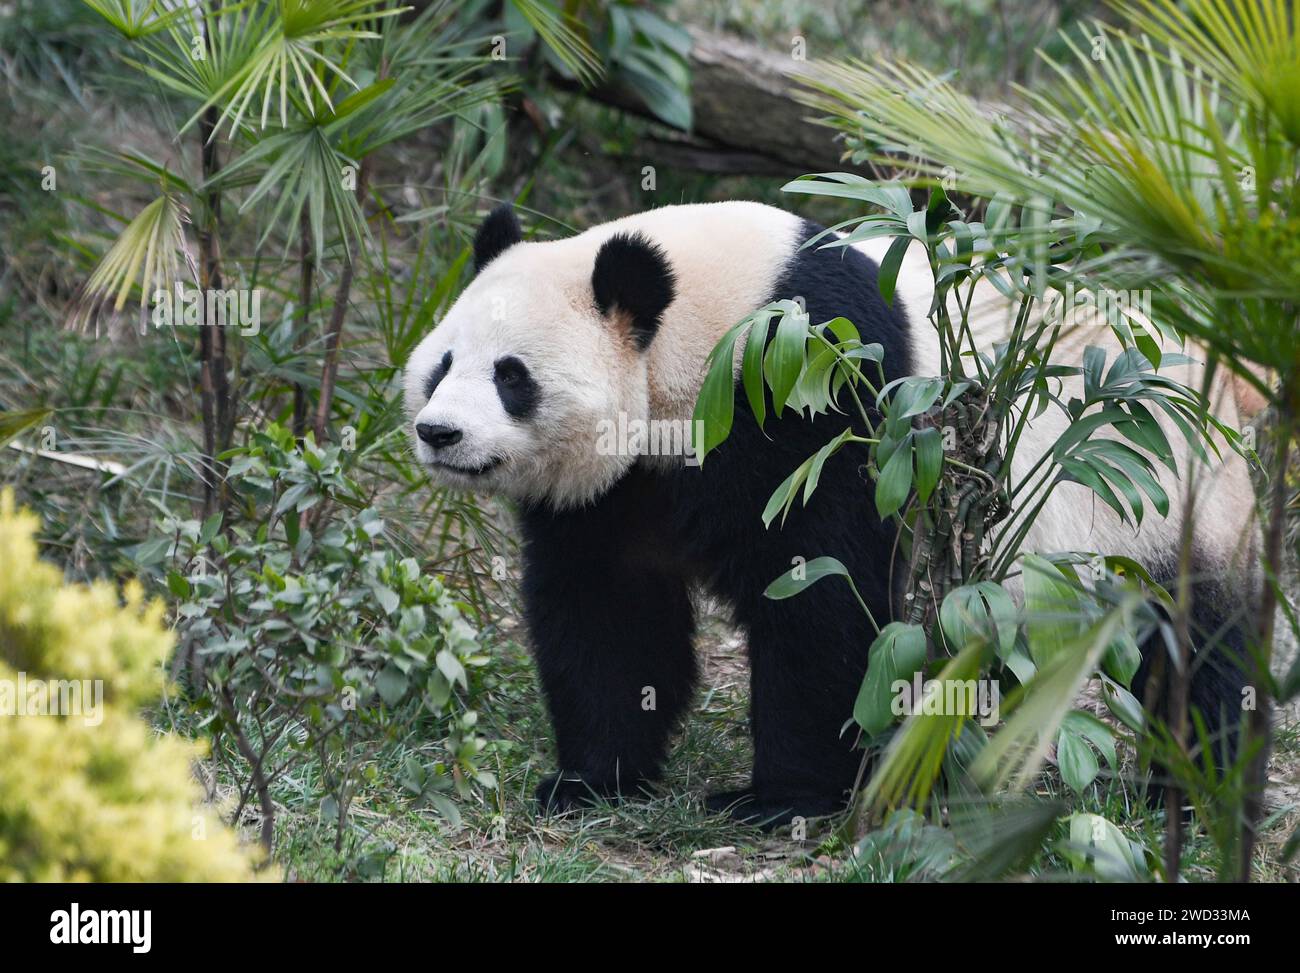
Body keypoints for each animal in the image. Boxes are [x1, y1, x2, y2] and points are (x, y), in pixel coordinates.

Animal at [403, 200, 1260, 826]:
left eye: (511, 376)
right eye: (442, 364)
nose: (438, 432)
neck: (697, 324)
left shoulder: (809, 388)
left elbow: (821, 593)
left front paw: (781, 799)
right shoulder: (624, 487)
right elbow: (610, 611)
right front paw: (589, 778)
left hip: (1161, 496)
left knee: (1195, 641)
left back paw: (1193, 791)